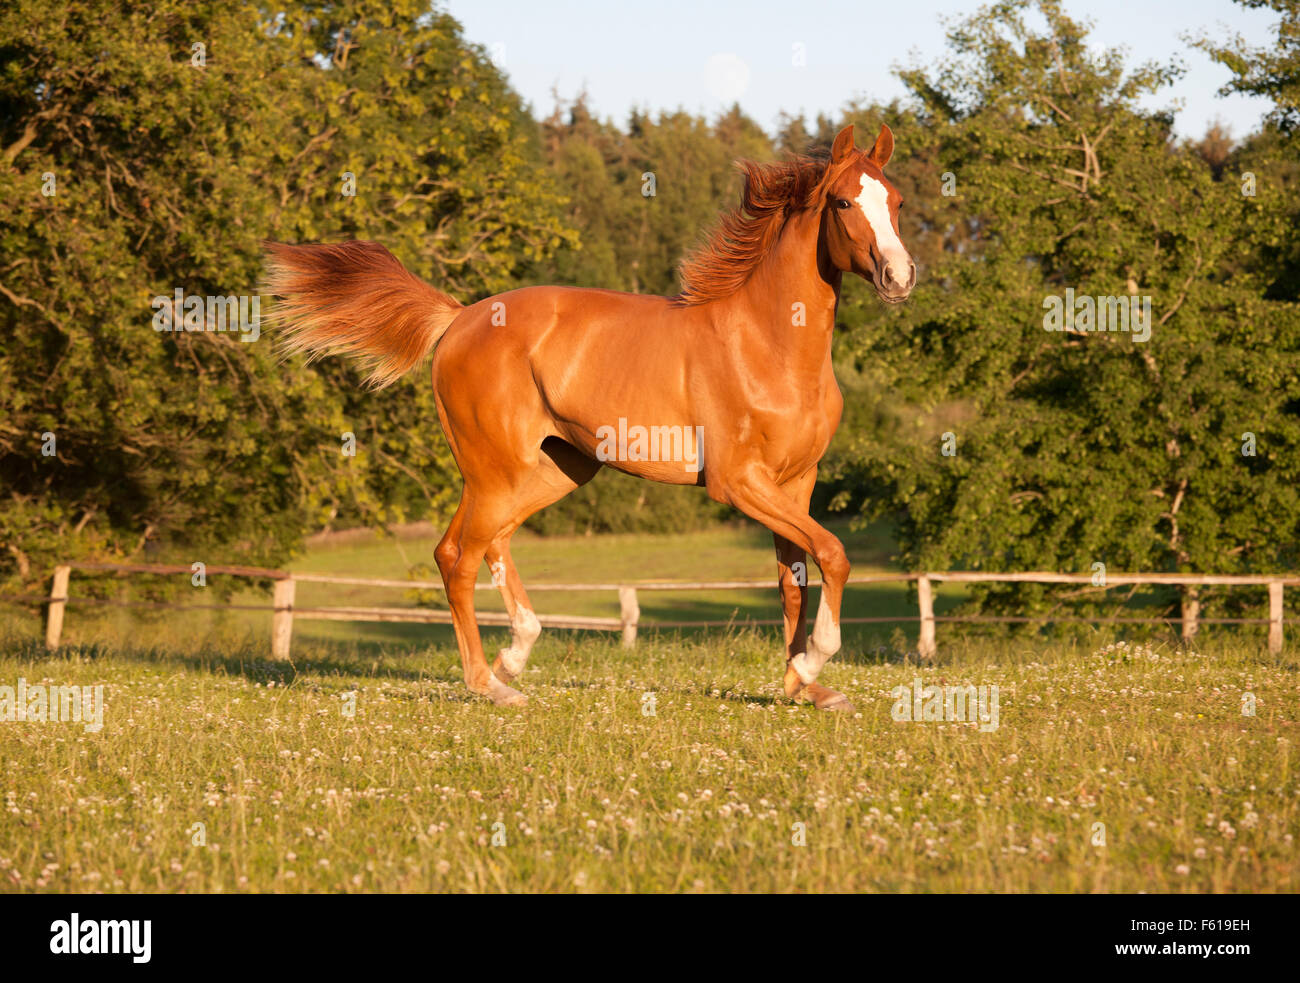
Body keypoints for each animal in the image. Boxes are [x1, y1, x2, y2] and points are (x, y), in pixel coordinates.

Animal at [263, 123, 915, 711]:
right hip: (496, 468)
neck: (766, 344)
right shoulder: (738, 482)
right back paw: (490, 684)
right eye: (843, 202)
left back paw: (515, 655)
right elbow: (835, 553)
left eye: (898, 201)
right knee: (458, 556)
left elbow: (794, 579)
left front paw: (806, 687)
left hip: (549, 471)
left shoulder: (795, 482)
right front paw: (811, 664)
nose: (901, 277)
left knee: (489, 542)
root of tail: (457, 318)